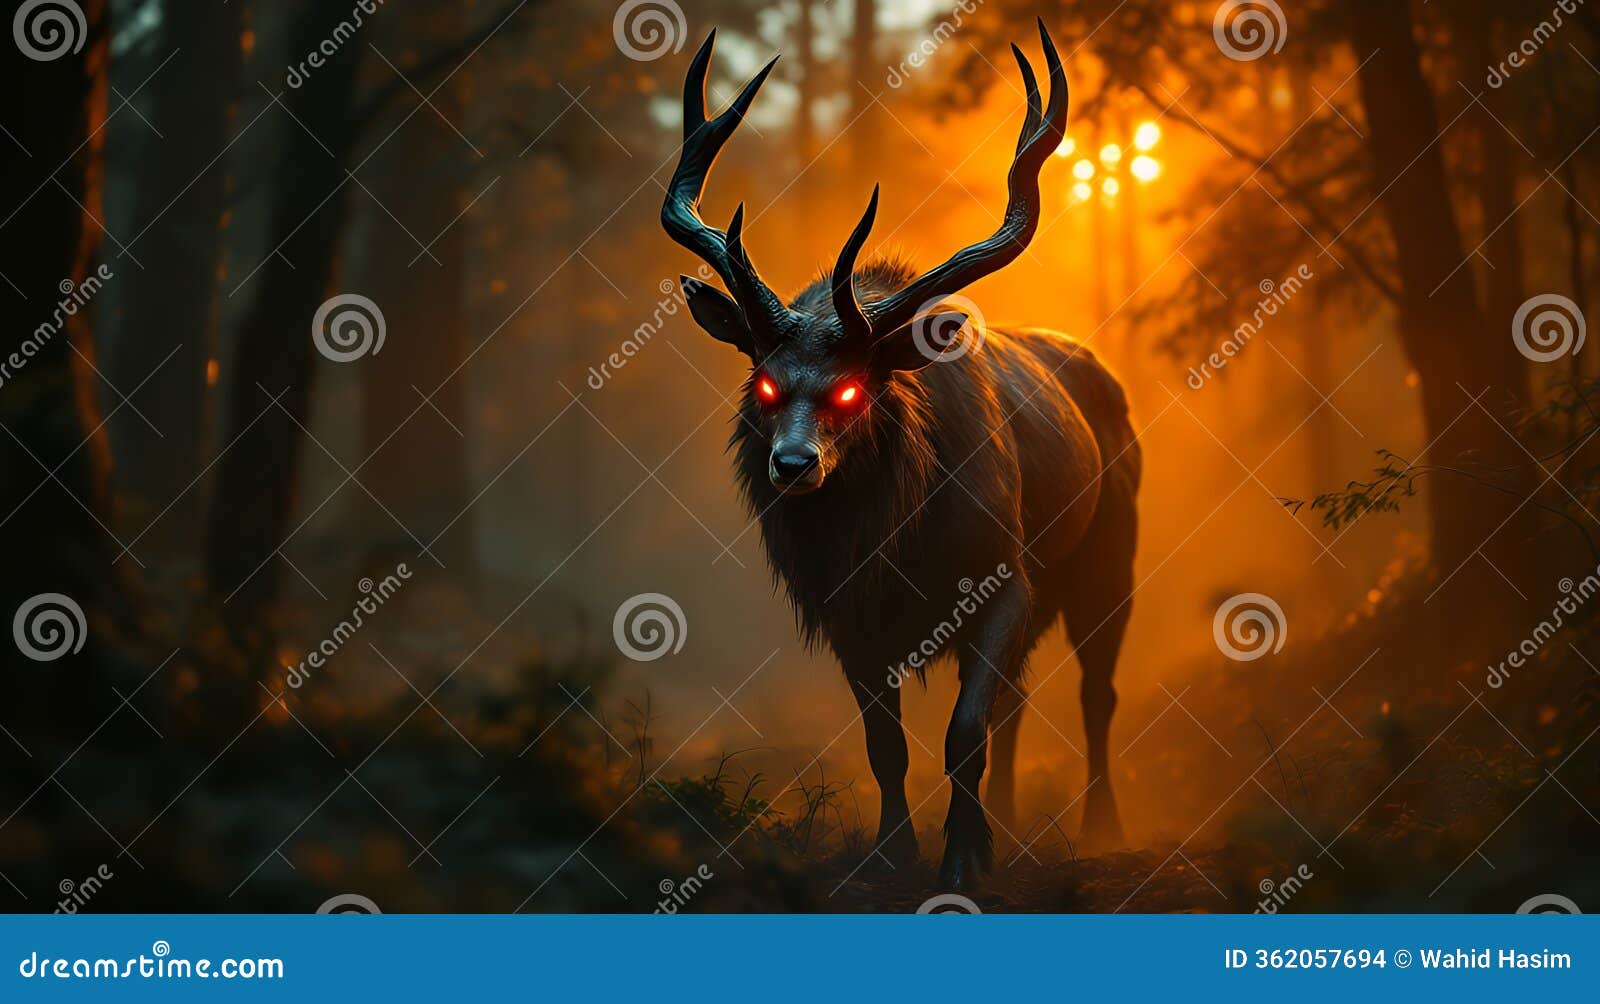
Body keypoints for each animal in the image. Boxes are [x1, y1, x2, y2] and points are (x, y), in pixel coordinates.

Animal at [662, 20, 1140, 891]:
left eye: (855, 389)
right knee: (1023, 701)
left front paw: (962, 861)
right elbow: (889, 747)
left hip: (1110, 557)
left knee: (1096, 693)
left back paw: (1100, 826)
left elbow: (964, 734)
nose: (793, 466)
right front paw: (895, 853)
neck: (897, 539)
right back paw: (1011, 821)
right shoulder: (846, 610)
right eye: (766, 382)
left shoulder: (1003, 578)